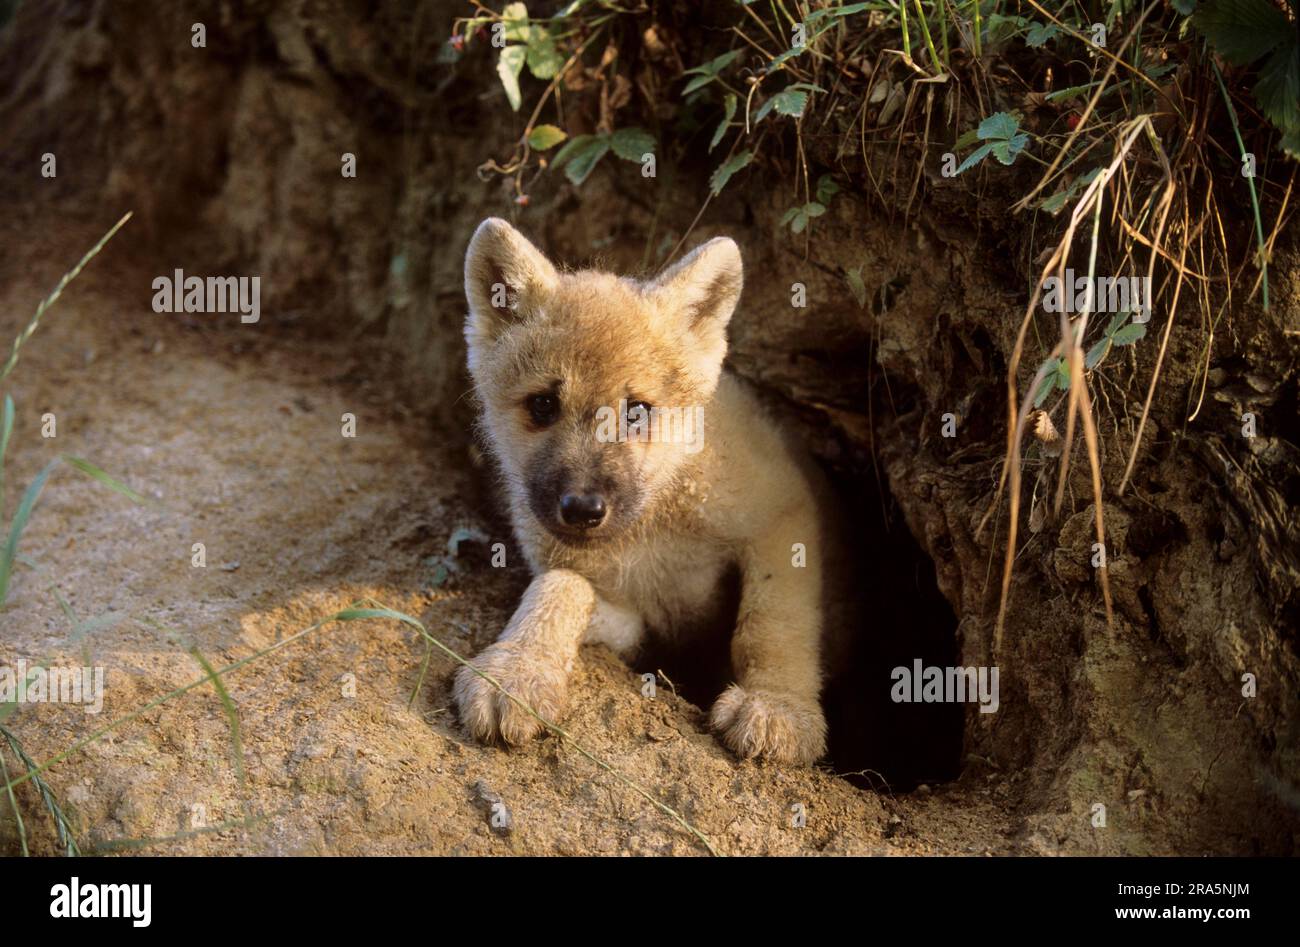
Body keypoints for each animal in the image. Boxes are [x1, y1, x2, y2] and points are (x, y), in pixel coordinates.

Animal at [453, 218, 845, 764]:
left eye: (637, 410)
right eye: (543, 406)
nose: (582, 509)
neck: (653, 527)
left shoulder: (784, 515)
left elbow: (771, 625)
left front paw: (777, 705)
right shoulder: (624, 612)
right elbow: (560, 587)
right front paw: (517, 670)